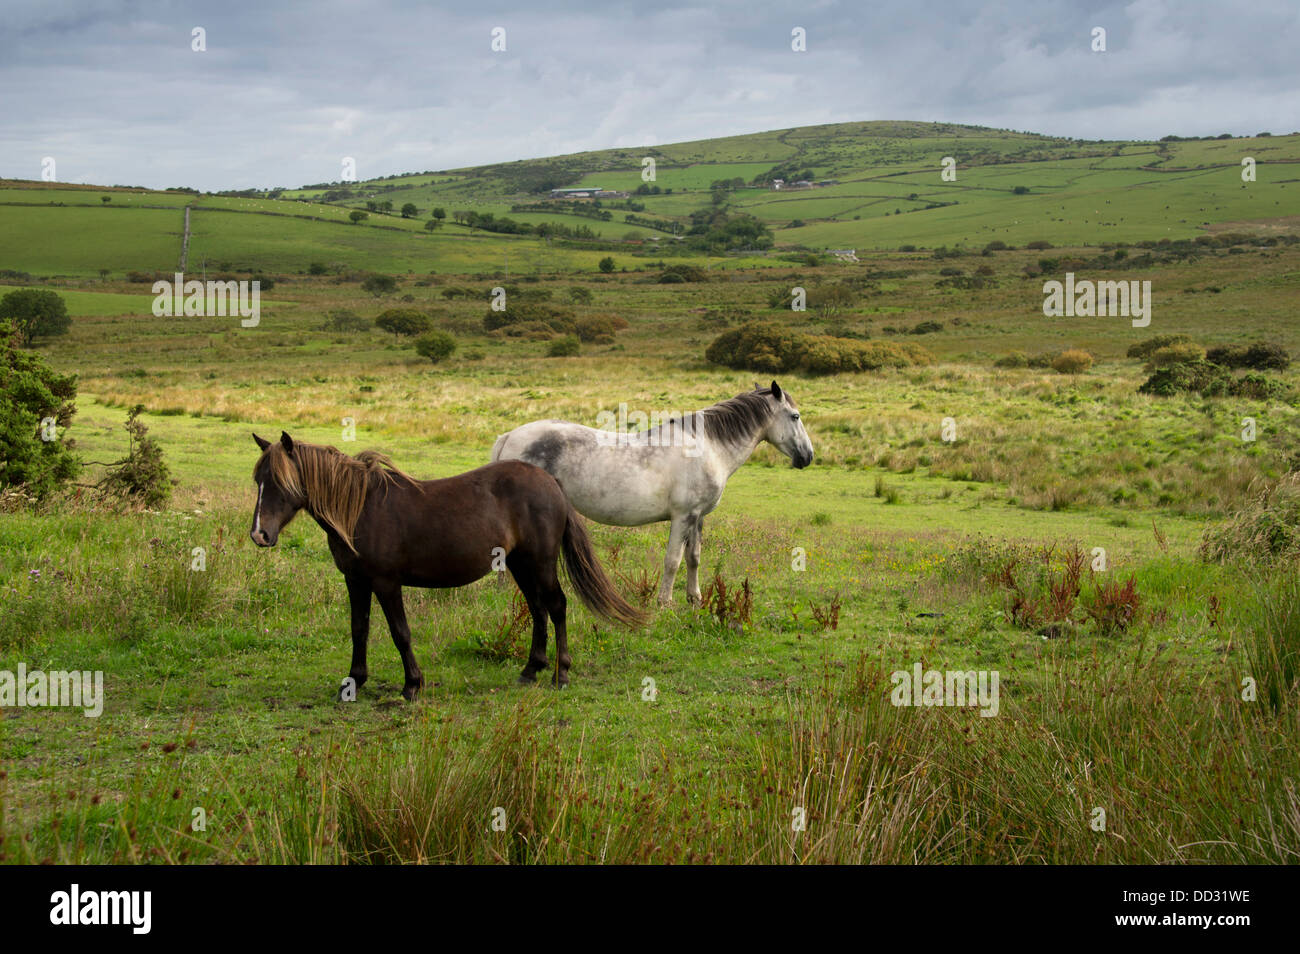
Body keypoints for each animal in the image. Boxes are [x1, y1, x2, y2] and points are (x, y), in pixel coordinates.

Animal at [248, 432, 644, 699]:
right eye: (258, 480)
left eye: (282, 482)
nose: (259, 534)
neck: (360, 510)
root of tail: (552, 482)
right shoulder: (355, 580)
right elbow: (358, 629)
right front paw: (354, 681)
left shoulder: (386, 582)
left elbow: (400, 632)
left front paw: (412, 685)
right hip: (520, 563)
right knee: (538, 608)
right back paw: (531, 670)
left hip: (541, 562)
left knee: (556, 606)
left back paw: (560, 675)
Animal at [490, 381, 813, 605]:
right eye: (795, 416)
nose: (808, 456)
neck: (708, 447)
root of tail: (509, 437)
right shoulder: (683, 517)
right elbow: (673, 560)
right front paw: (664, 602)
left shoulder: (697, 517)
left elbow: (694, 557)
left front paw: (694, 599)